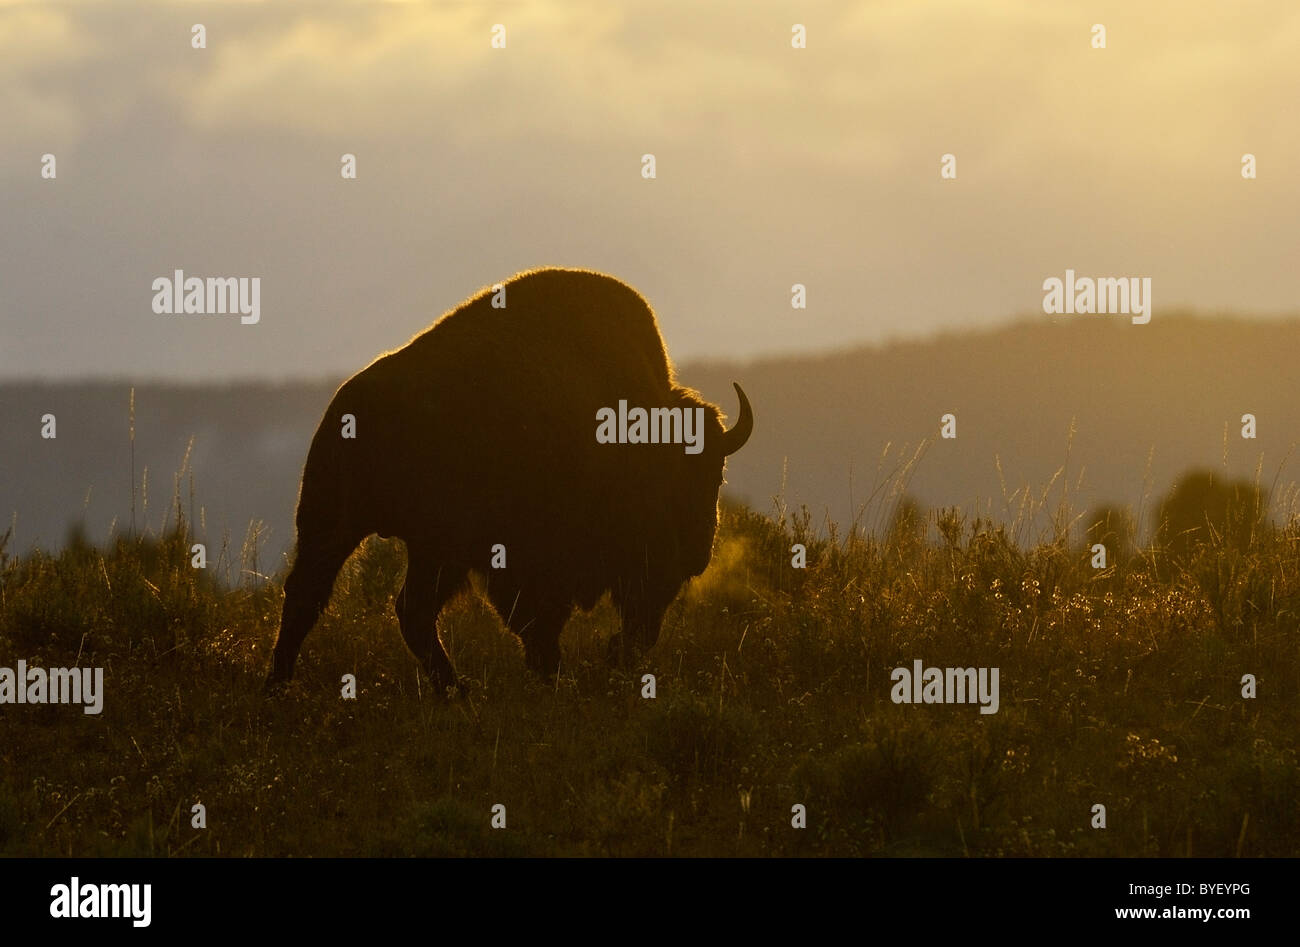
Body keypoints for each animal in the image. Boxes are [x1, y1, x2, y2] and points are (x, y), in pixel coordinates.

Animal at [266, 267, 753, 692]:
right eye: (701, 477)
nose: (699, 551)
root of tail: (352, 402)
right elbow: (552, 621)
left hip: (349, 529)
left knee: (329, 598)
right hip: (423, 543)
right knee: (388, 606)